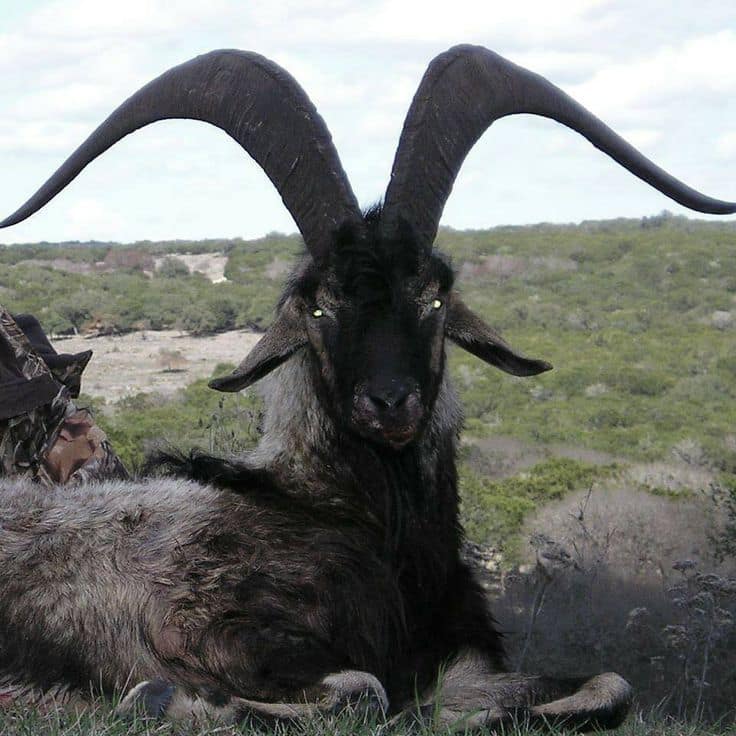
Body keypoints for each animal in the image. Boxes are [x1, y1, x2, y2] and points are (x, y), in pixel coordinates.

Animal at [0, 45, 734, 731]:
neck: (351, 519)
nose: (389, 402)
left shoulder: (458, 657)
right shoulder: (205, 629)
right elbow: (363, 689)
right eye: (320, 307)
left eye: (433, 296)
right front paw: (163, 698)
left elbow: (610, 685)